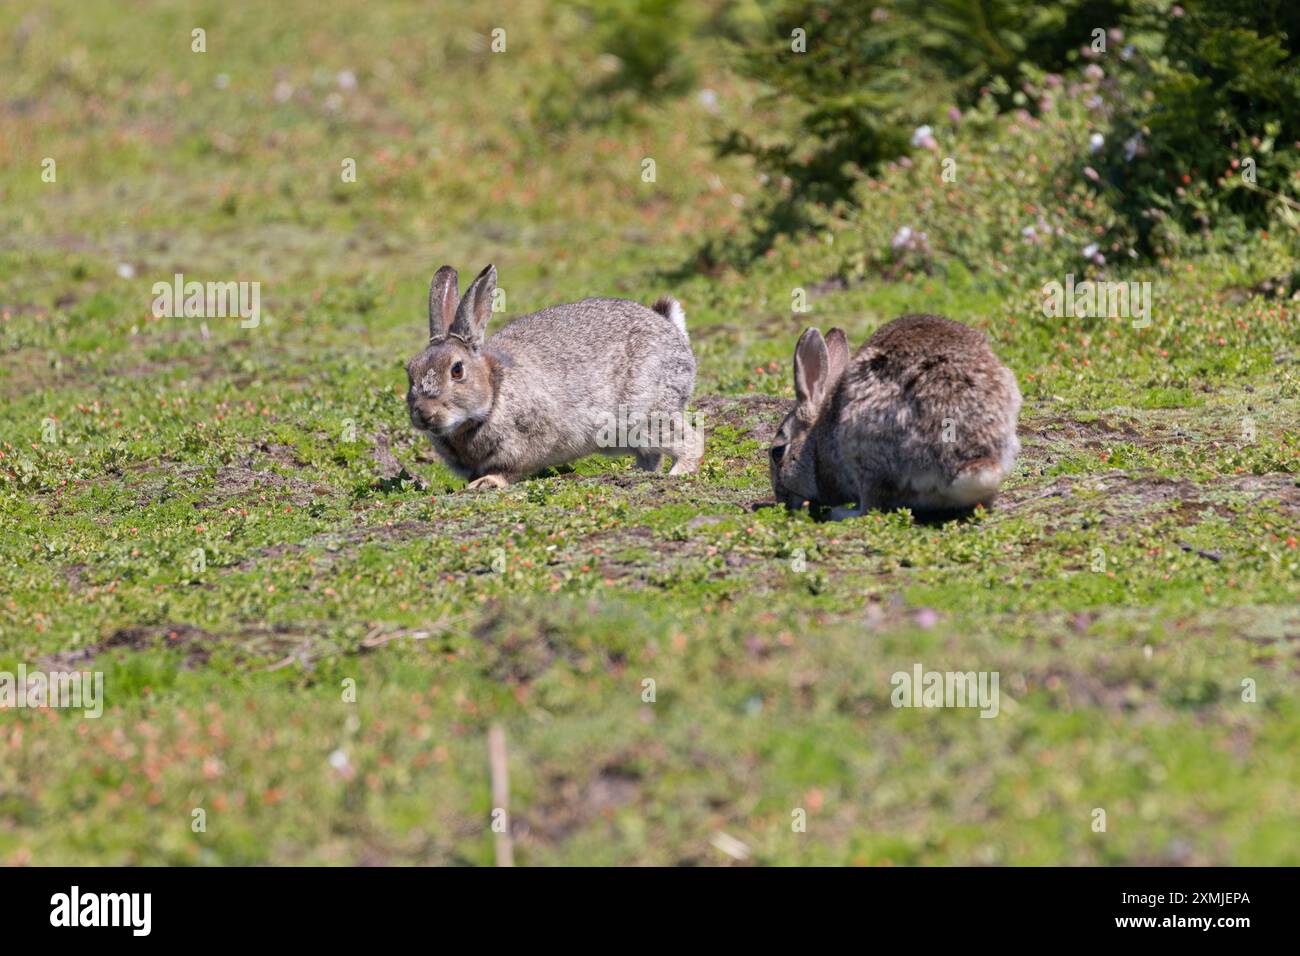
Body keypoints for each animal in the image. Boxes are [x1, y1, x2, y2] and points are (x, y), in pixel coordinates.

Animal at [406, 264, 702, 490]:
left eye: (457, 370)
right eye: (410, 370)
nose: (423, 414)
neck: (494, 393)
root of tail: (673, 330)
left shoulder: (527, 443)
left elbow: (509, 470)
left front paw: (486, 483)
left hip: (647, 414)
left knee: (690, 441)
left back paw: (677, 473)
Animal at [769, 314, 1021, 519]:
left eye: (777, 452)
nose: (782, 500)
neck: (815, 443)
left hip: (864, 450)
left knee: (872, 505)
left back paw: (842, 513)